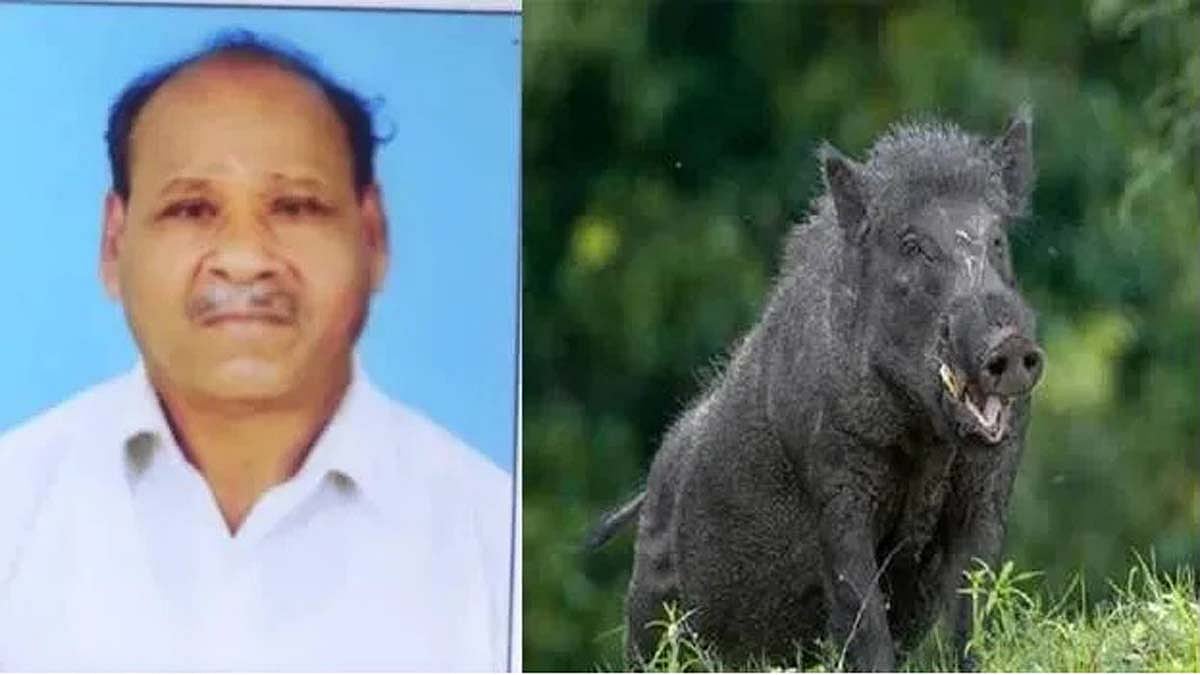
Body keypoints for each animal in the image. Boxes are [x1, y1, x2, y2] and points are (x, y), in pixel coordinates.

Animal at [588, 109, 1043, 671]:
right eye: (913, 245)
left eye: (997, 239)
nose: (1010, 343)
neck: (928, 444)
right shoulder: (833, 486)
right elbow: (863, 616)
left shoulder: (987, 492)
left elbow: (974, 607)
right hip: (648, 613)